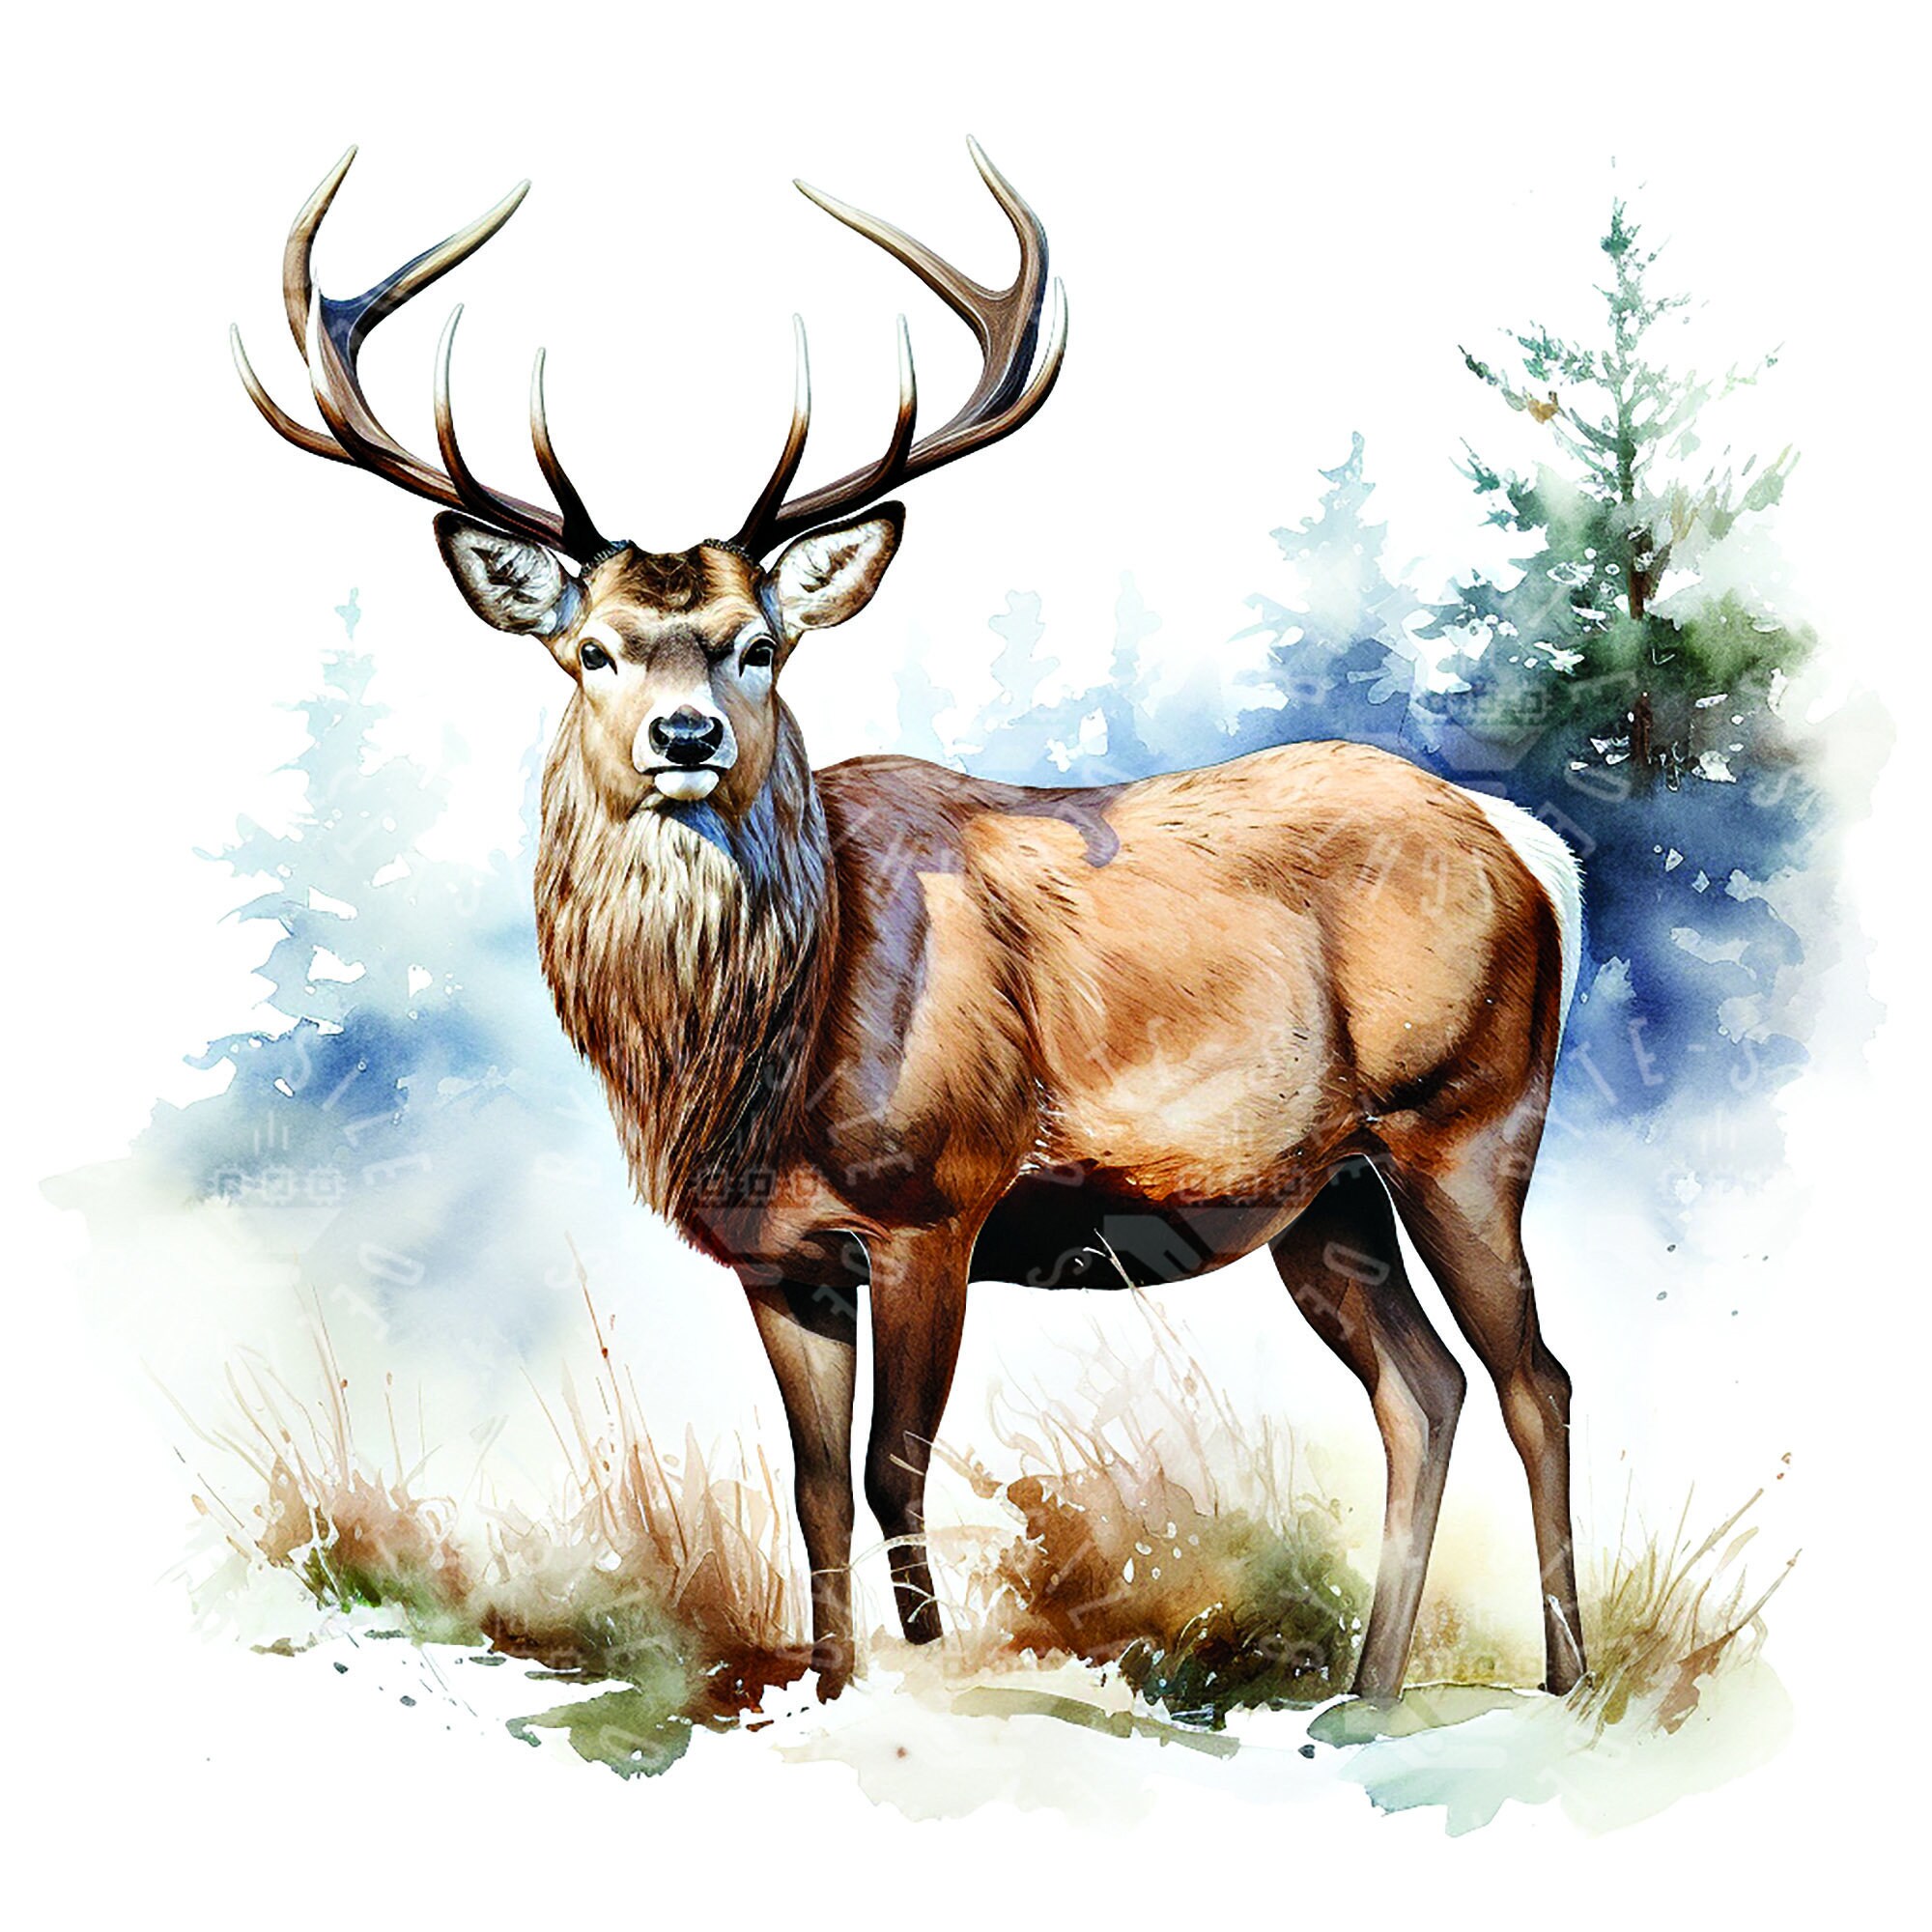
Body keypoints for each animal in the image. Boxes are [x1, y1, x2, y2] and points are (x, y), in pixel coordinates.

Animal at [233, 143, 1588, 1706]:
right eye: (592, 649)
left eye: (760, 645)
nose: (687, 734)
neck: (755, 1070)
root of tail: (1530, 848)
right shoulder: (778, 1254)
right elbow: (814, 1486)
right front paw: (827, 1689)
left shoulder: (941, 1195)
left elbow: (895, 1471)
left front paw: (929, 1686)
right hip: (1324, 1192)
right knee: (1421, 1390)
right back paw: (1365, 1692)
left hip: (1469, 1117)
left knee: (1533, 1376)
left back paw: (1567, 1678)